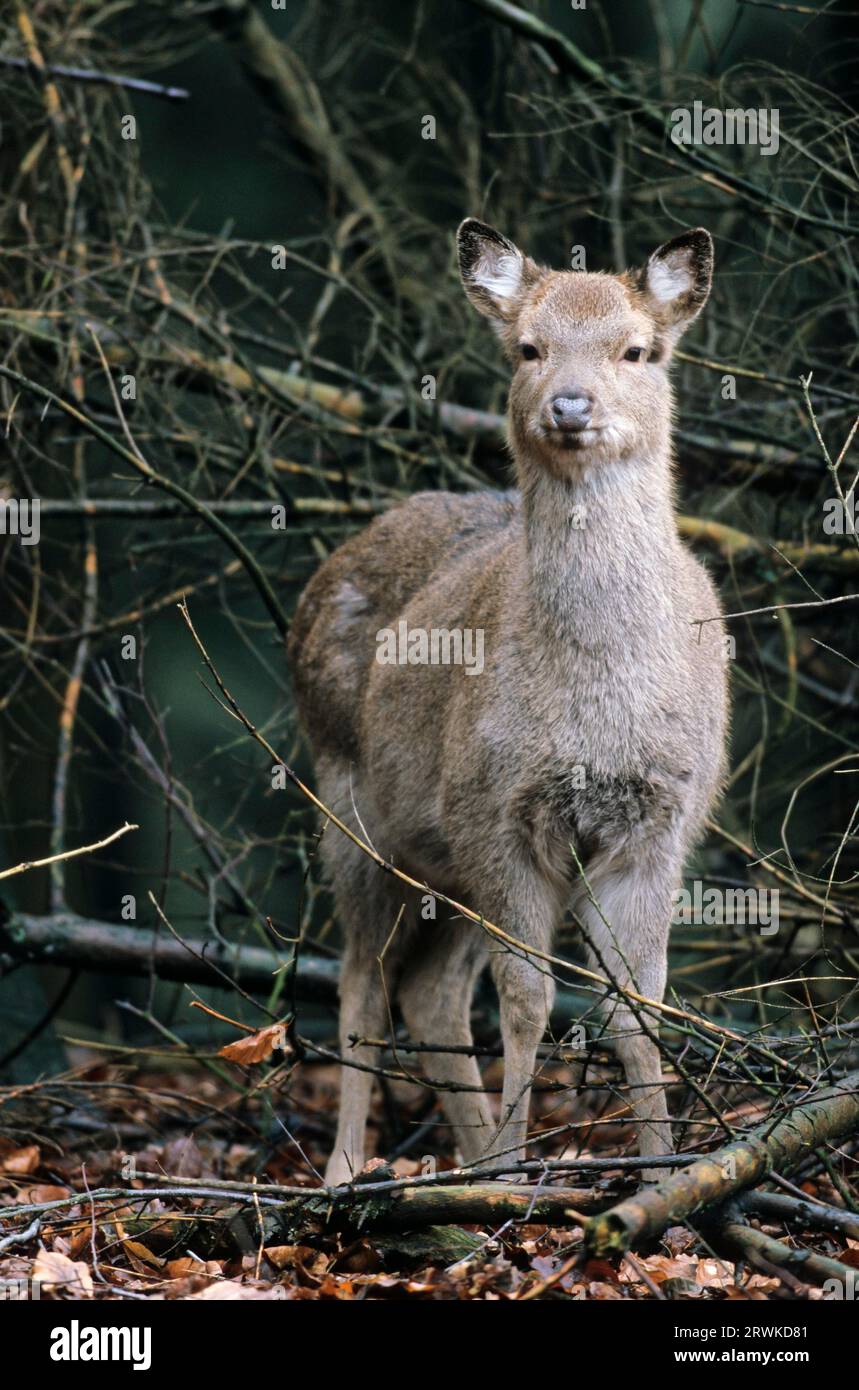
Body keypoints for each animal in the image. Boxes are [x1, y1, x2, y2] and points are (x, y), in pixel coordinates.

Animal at [288, 219, 729, 1185]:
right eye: (526, 347)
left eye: (636, 349)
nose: (567, 404)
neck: (598, 703)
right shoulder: (498, 809)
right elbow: (527, 998)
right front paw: (515, 1179)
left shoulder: (661, 822)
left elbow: (638, 1004)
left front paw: (661, 1174)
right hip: (350, 803)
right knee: (361, 982)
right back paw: (351, 1169)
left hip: (441, 855)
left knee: (429, 990)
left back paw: (470, 1152)